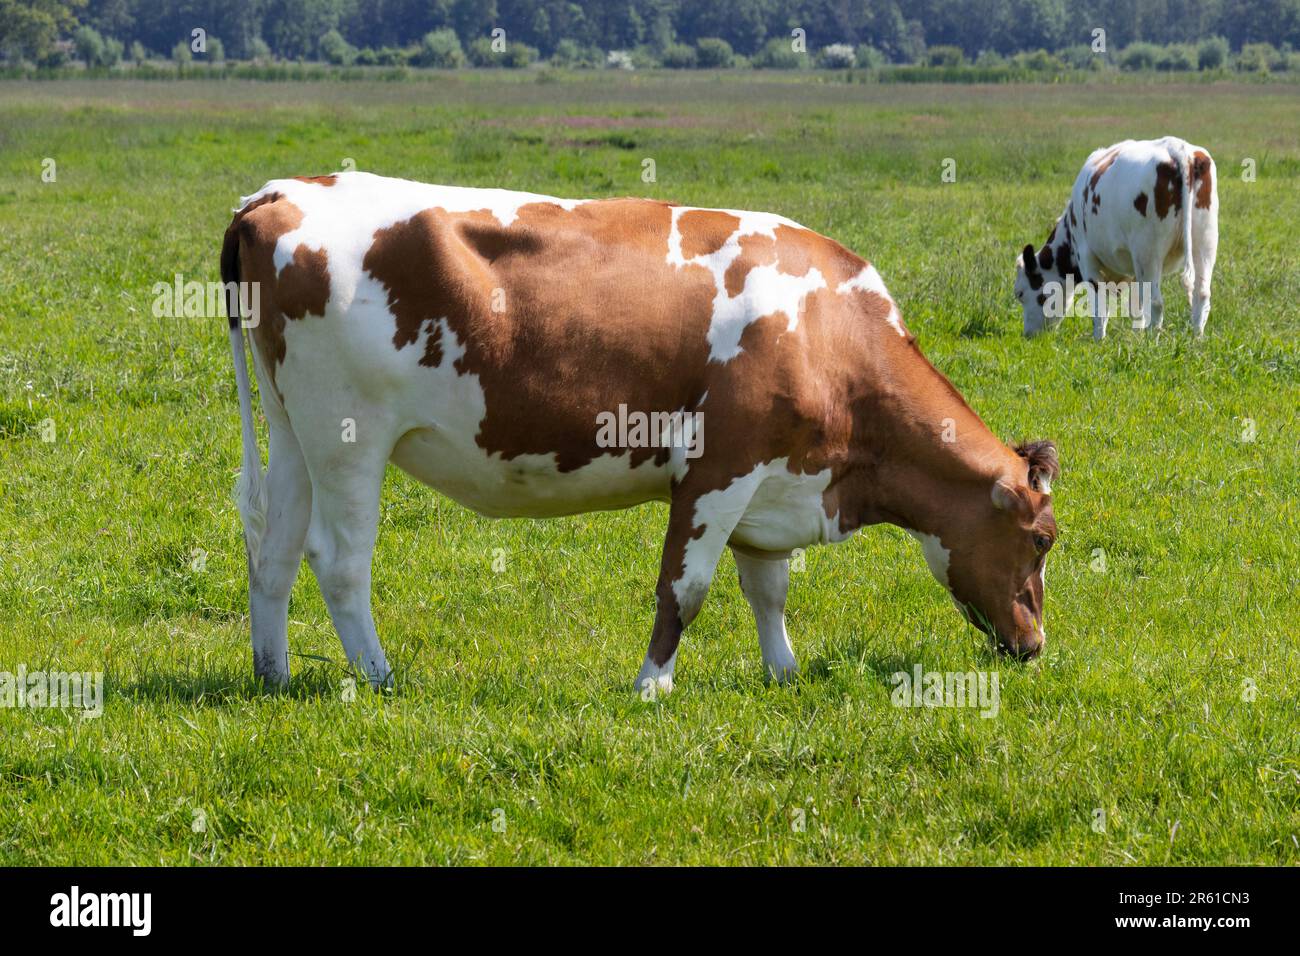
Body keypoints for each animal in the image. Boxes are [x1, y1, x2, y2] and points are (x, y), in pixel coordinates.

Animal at [221, 172, 1060, 694]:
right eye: (1042, 541)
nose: (1035, 647)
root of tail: (278, 193)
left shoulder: (774, 478)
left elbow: (769, 588)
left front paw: (783, 672)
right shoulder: (720, 465)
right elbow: (683, 588)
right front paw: (653, 683)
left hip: (293, 434)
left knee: (274, 551)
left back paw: (274, 673)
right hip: (349, 437)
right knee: (339, 562)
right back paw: (381, 676)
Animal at [1014, 137, 1219, 340]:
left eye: (1020, 294)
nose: (1028, 335)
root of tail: (1177, 147)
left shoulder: (1086, 256)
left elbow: (1099, 307)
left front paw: (1099, 340)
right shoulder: (1133, 270)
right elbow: (1135, 307)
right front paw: (1136, 337)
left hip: (1147, 252)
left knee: (1156, 302)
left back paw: (1153, 342)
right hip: (1205, 242)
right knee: (1201, 294)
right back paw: (1196, 338)